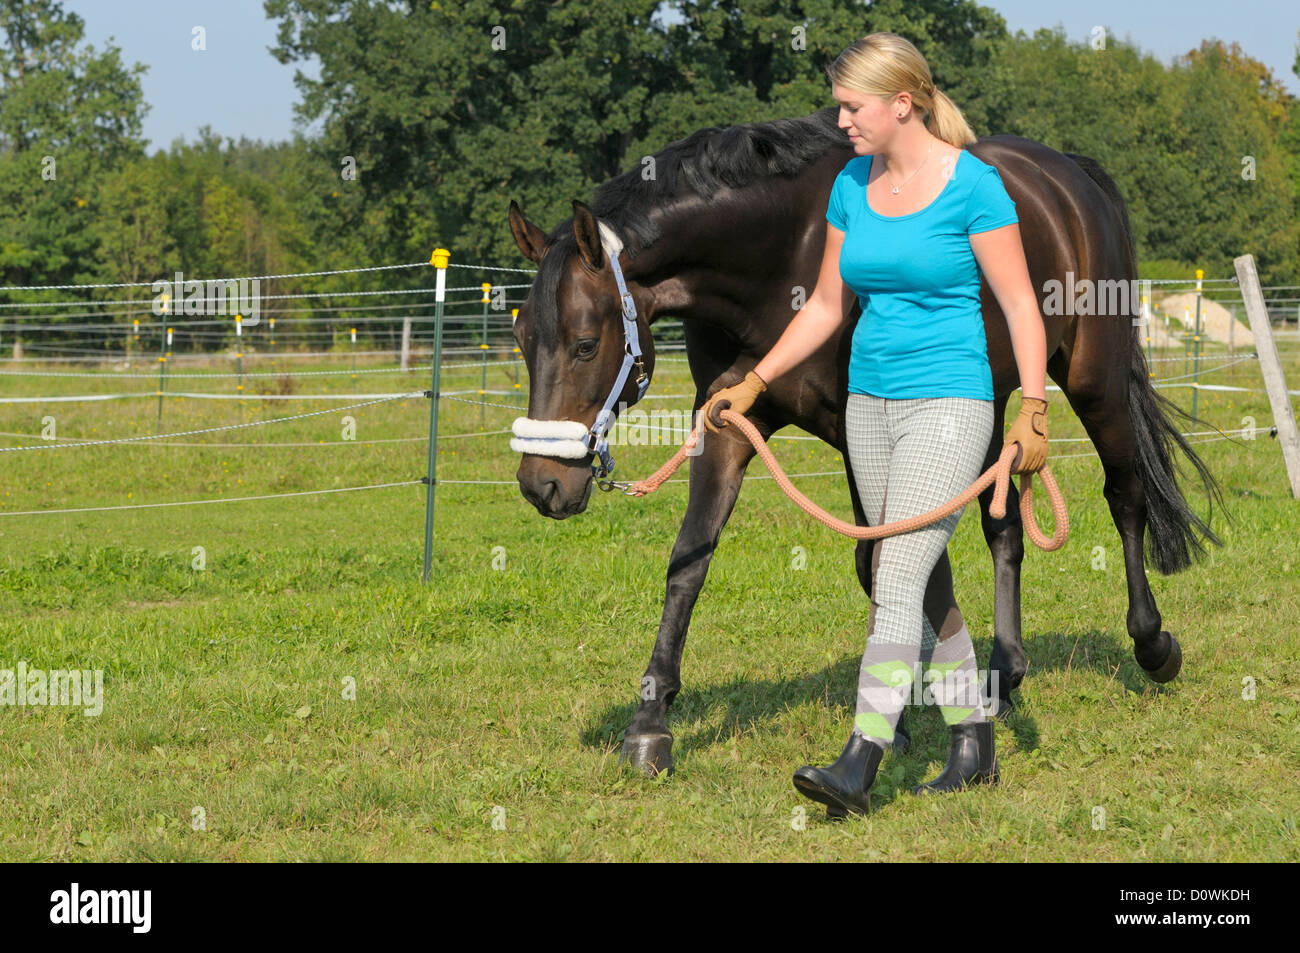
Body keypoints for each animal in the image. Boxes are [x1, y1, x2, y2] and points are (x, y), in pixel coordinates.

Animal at [506, 105, 1222, 776]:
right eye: (520, 338)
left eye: (585, 344)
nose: (542, 484)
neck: (781, 259)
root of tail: (1070, 175)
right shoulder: (725, 425)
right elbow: (689, 560)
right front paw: (650, 724)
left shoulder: (861, 432)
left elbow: (878, 560)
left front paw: (894, 718)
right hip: (983, 406)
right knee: (1006, 528)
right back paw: (1005, 670)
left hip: (1093, 380)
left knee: (1125, 496)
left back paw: (1152, 644)